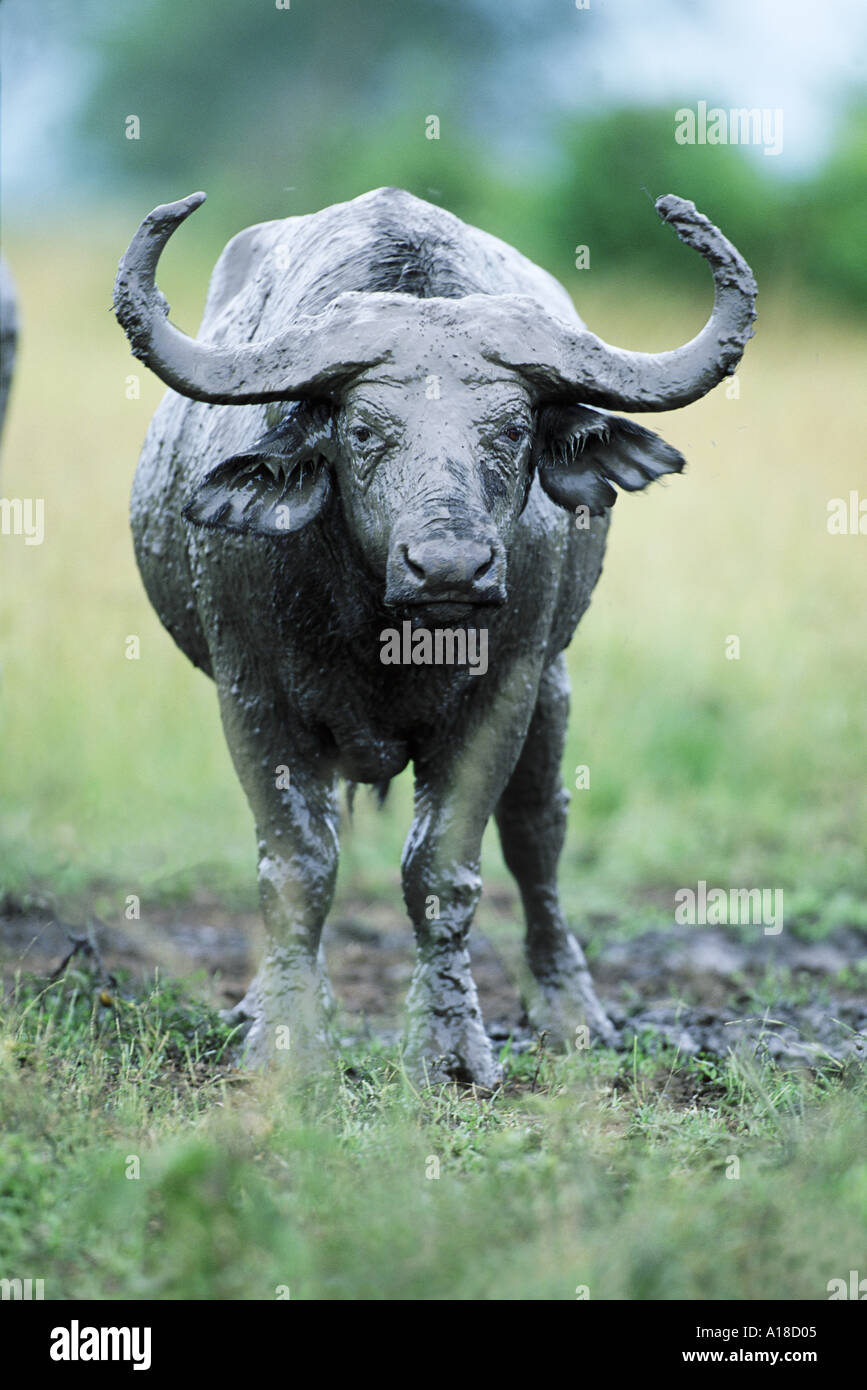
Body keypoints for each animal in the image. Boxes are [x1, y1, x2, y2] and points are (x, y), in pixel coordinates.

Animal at [114, 186, 756, 1085]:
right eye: (362, 431)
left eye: (512, 430)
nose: (449, 567)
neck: (385, 627)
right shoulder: (251, 694)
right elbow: (298, 867)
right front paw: (285, 1036)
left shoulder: (504, 692)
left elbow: (443, 870)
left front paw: (449, 1048)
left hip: (552, 688)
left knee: (537, 832)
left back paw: (572, 1012)